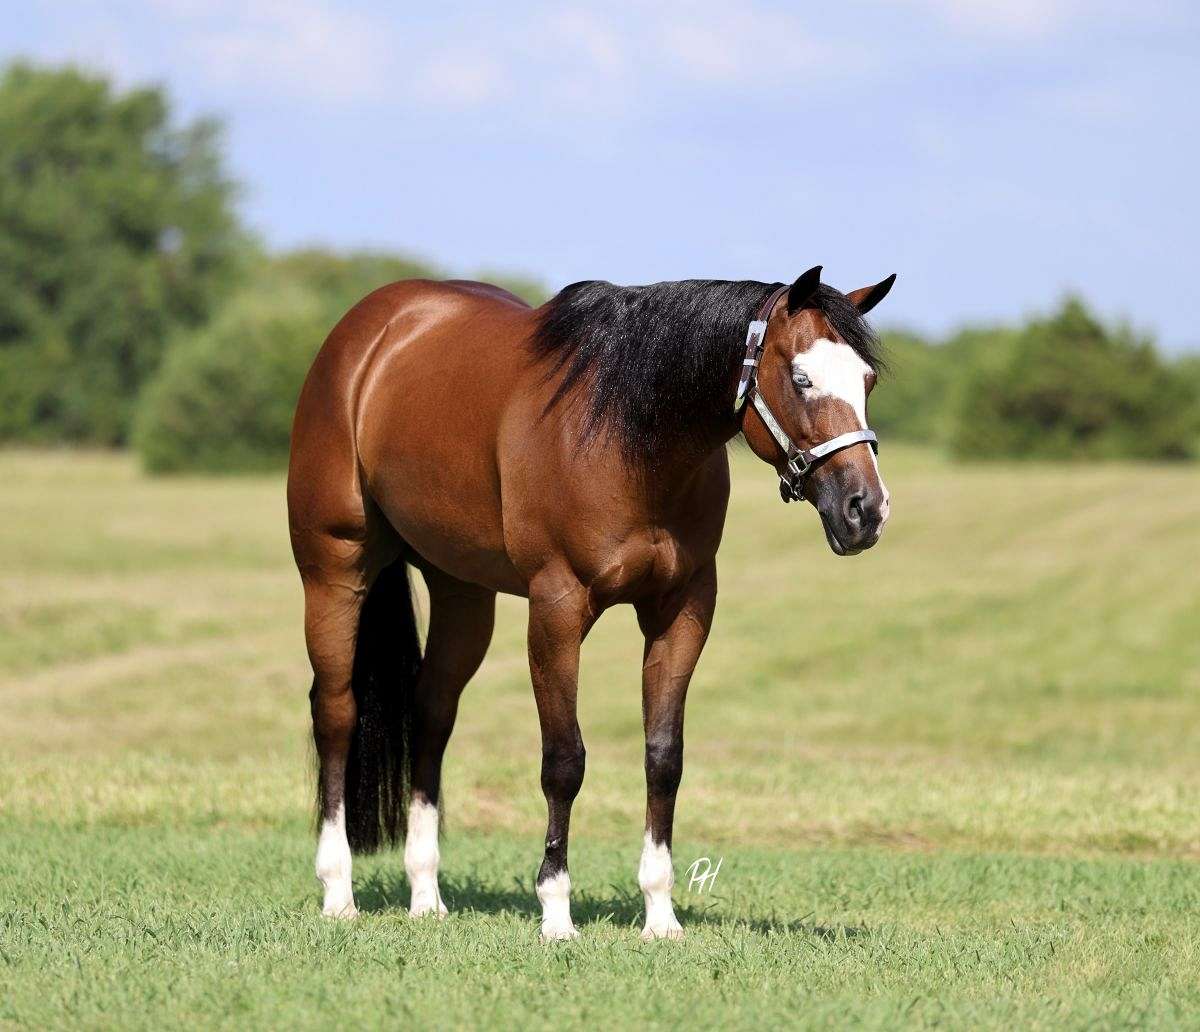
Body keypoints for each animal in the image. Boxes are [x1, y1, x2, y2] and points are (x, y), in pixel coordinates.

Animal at [286, 265, 895, 940]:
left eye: (867, 380)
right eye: (801, 377)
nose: (865, 511)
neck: (629, 439)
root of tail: (371, 330)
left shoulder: (683, 609)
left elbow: (663, 757)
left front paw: (660, 914)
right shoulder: (556, 607)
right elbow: (564, 760)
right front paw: (556, 912)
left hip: (462, 592)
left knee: (431, 713)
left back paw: (426, 893)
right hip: (335, 570)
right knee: (336, 712)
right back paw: (338, 891)